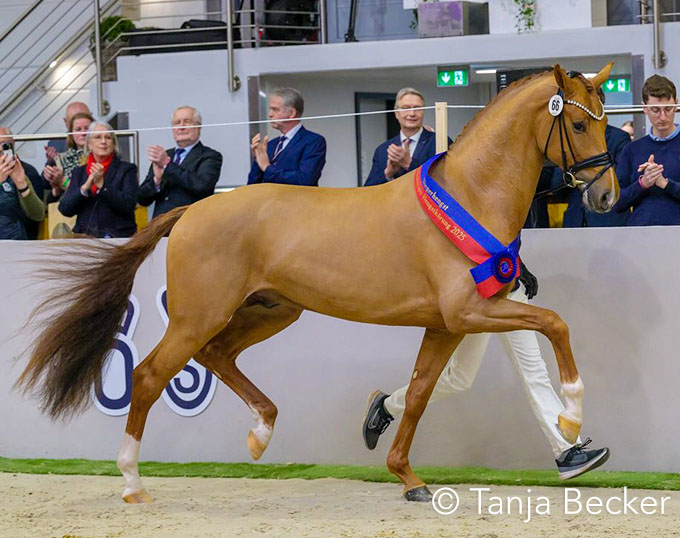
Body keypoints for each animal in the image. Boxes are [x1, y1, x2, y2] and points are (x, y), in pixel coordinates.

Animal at [17, 63, 618, 503]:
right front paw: (571, 416)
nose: (607, 194)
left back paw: (261, 433)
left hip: (272, 310)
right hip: (198, 314)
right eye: (579, 124)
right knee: (148, 376)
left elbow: (419, 392)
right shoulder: (468, 313)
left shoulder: (449, 323)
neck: (467, 197)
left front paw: (408, 477)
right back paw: (133, 482)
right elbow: (555, 323)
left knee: (218, 356)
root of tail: (191, 211)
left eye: (606, 118)